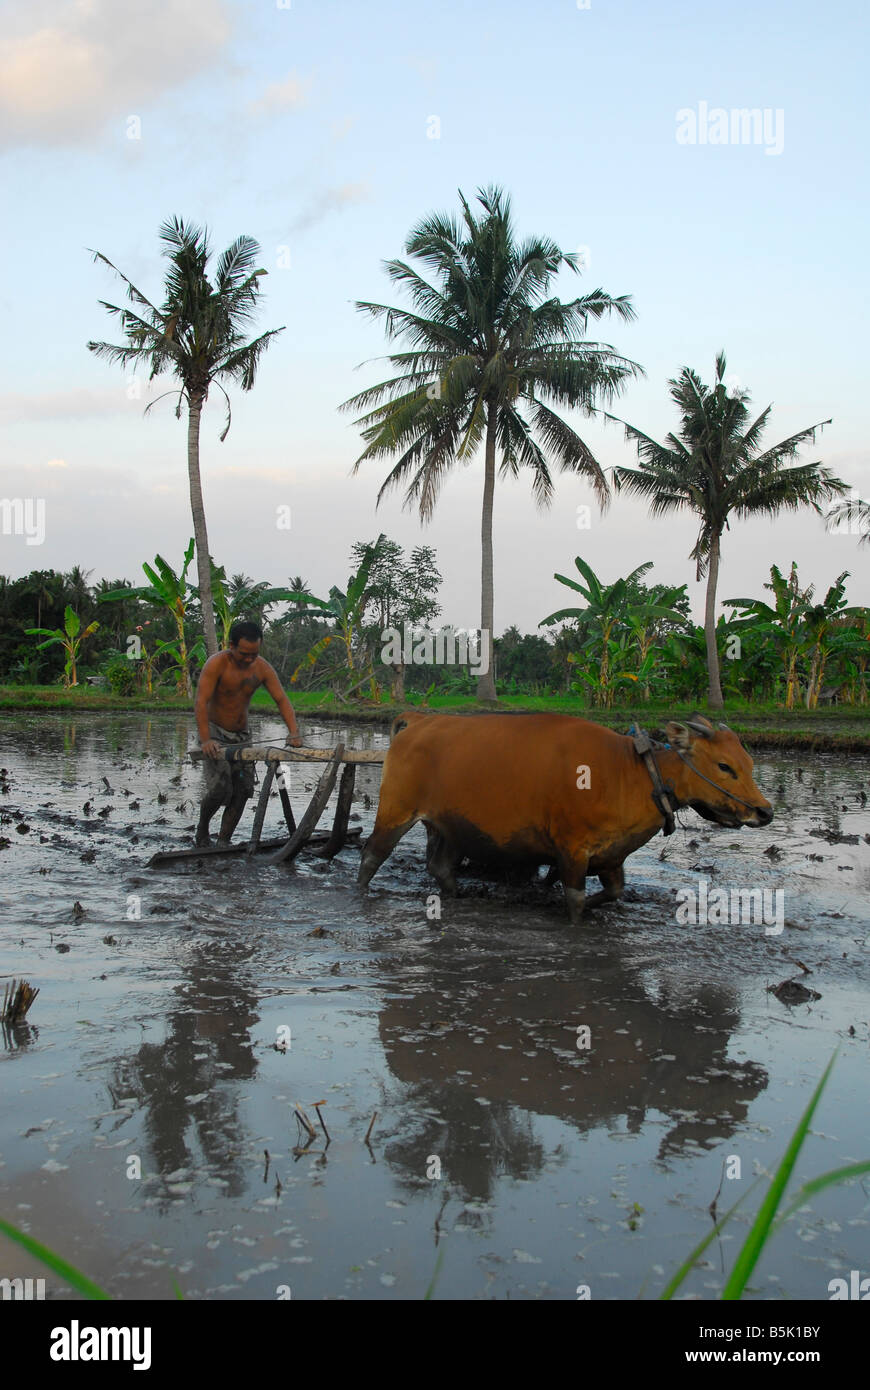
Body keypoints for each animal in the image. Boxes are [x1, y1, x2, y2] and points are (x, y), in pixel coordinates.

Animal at [357, 711, 773, 924]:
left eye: (749, 764)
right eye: (724, 766)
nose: (764, 811)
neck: (631, 773)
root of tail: (419, 720)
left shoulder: (612, 857)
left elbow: (614, 892)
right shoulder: (572, 851)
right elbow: (574, 901)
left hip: (451, 828)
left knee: (440, 866)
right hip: (395, 811)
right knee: (371, 856)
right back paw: (359, 892)